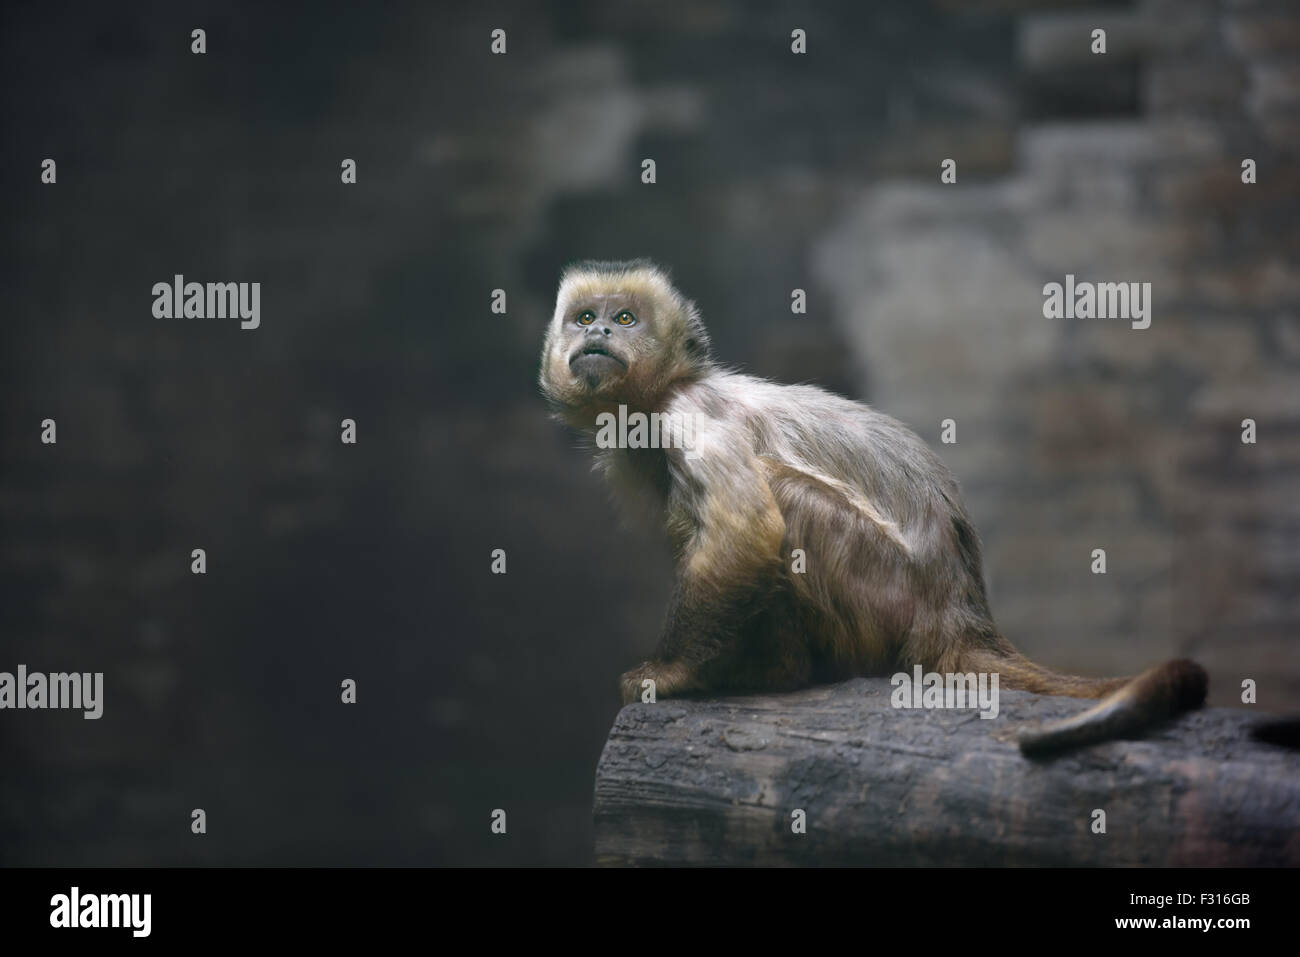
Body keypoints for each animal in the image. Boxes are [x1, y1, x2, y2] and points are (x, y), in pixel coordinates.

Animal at [539, 259, 1207, 757]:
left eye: (625, 319)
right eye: (585, 318)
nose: (597, 335)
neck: (655, 402)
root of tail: (959, 609)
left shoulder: (688, 413)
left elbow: (744, 532)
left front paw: (673, 674)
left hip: (887, 599)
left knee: (781, 499)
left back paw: (778, 674)